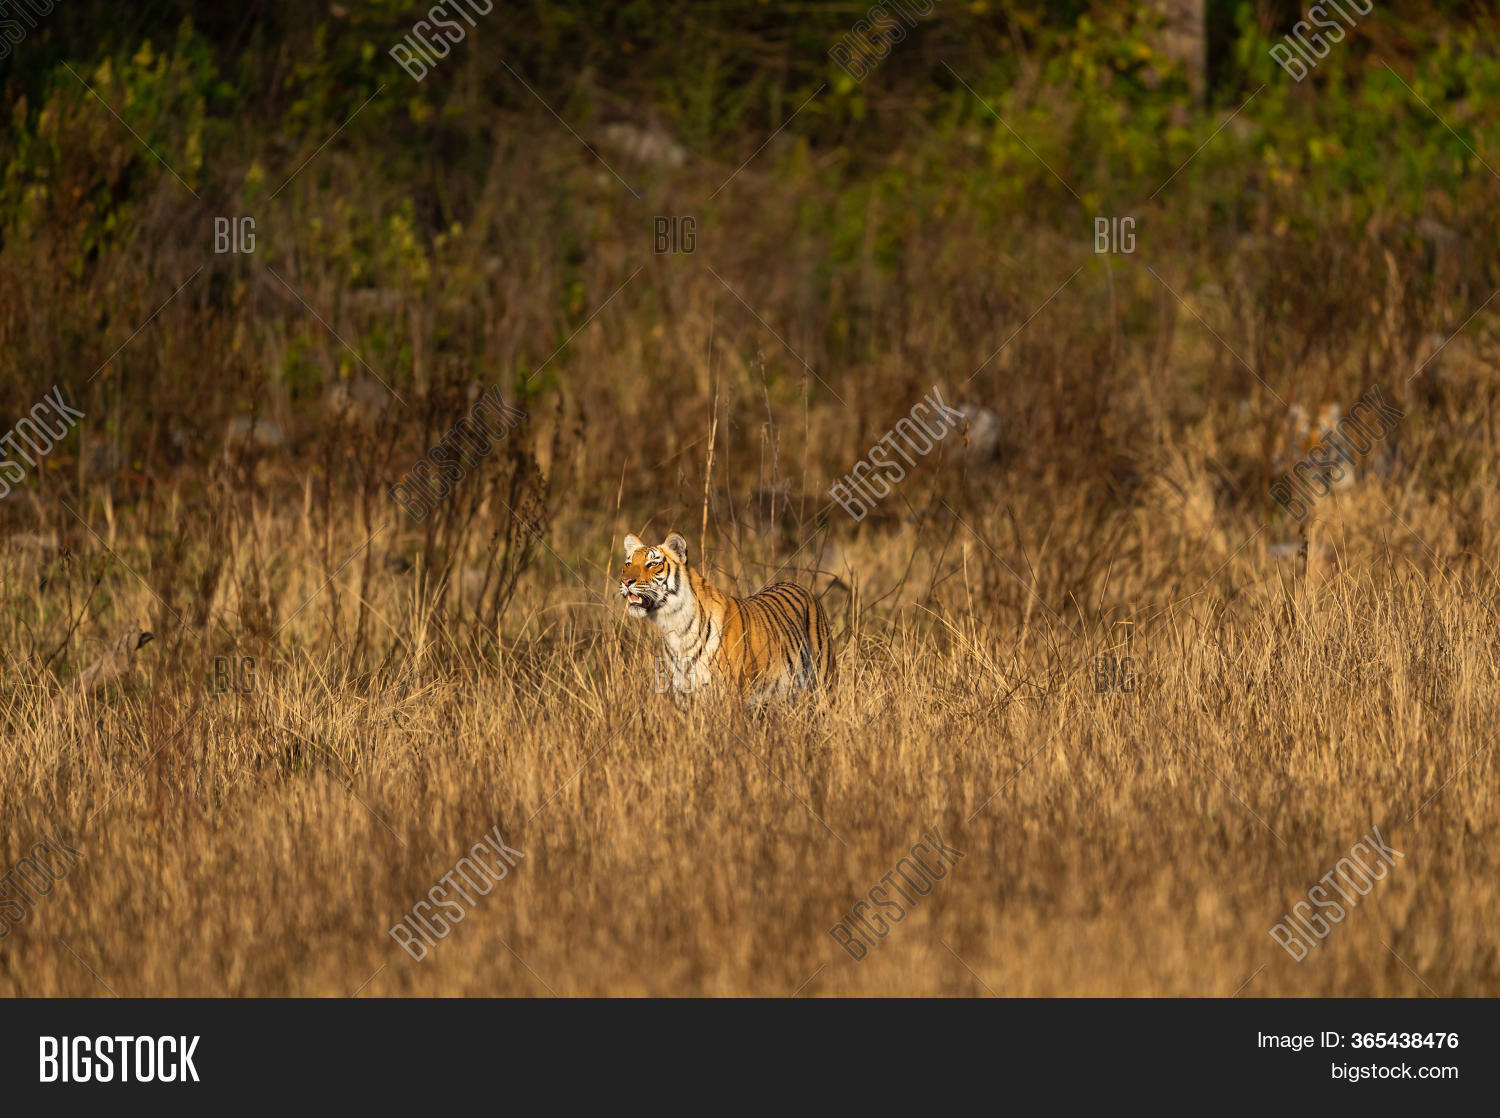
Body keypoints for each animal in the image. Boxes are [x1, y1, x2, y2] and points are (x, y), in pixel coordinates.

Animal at [618, 531, 836, 700]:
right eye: (628, 563)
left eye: (652, 564)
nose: (626, 581)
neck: (674, 624)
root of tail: (798, 585)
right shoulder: (684, 691)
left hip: (824, 681)